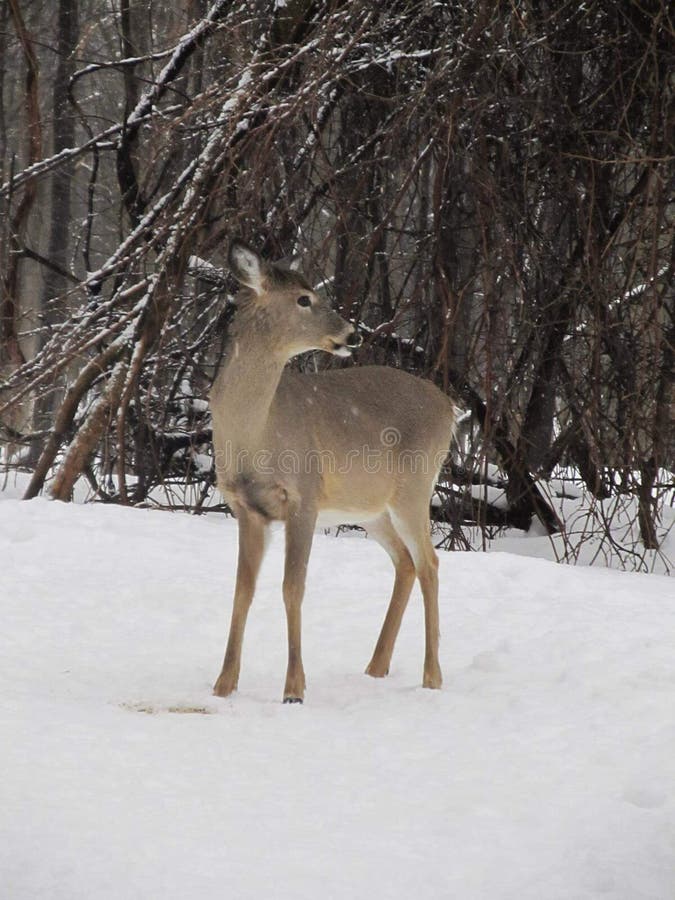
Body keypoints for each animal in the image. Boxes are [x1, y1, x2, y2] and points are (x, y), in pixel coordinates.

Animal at [210, 240, 455, 703]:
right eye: (304, 299)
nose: (352, 334)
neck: (255, 433)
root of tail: (450, 406)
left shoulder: (304, 495)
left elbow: (293, 587)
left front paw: (294, 688)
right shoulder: (246, 508)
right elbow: (241, 590)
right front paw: (224, 683)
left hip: (415, 488)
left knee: (430, 562)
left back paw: (432, 676)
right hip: (370, 510)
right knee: (405, 562)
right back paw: (376, 667)